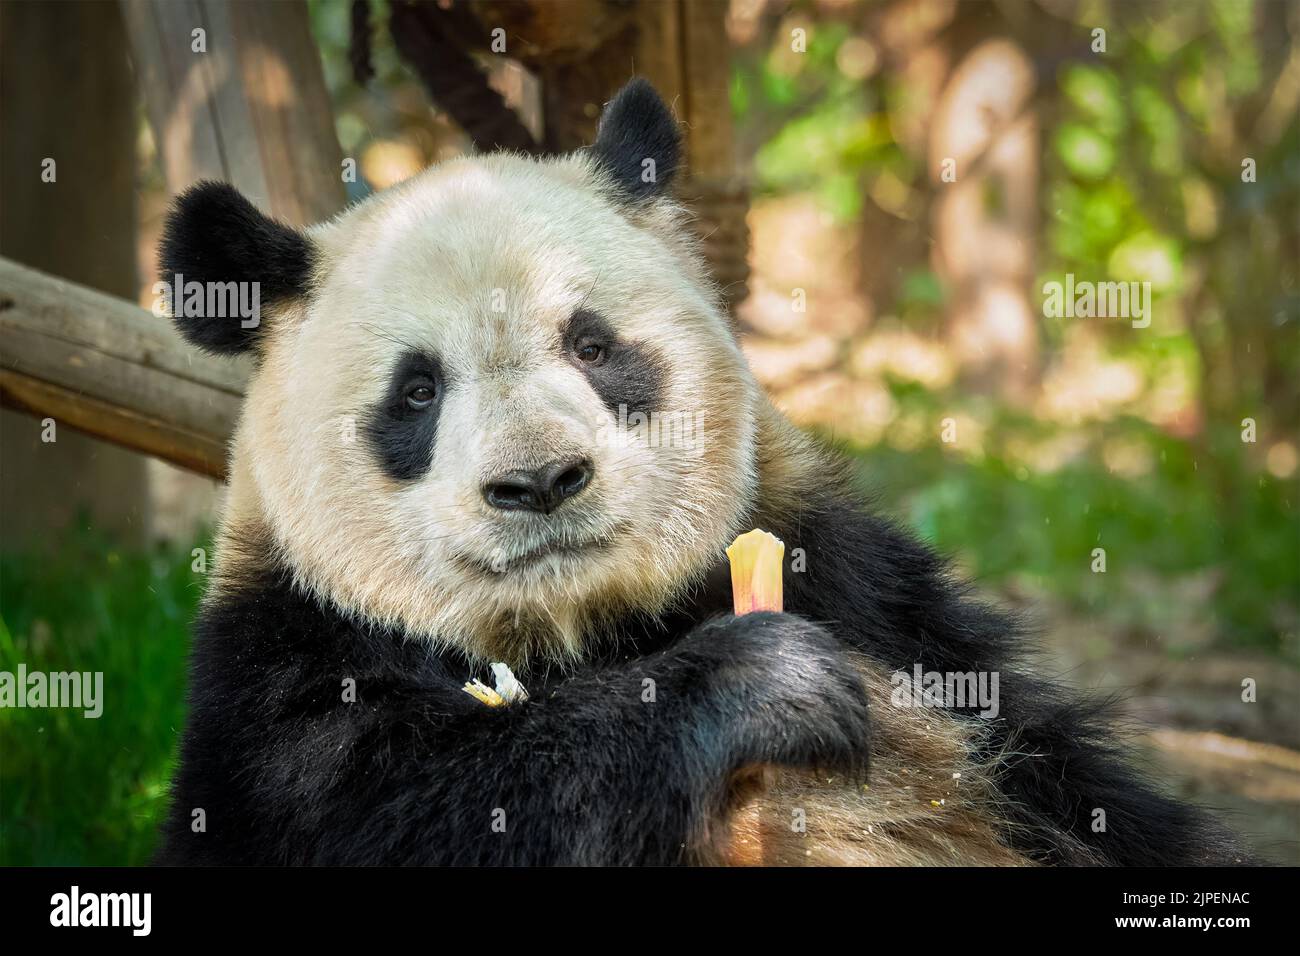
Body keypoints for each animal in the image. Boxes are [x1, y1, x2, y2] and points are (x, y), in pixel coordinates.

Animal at [154, 79, 1247, 866]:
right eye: (416, 392)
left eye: (592, 345)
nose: (541, 481)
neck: (581, 633)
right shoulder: (280, 675)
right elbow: (407, 802)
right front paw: (759, 682)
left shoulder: (859, 584)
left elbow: (1065, 782)